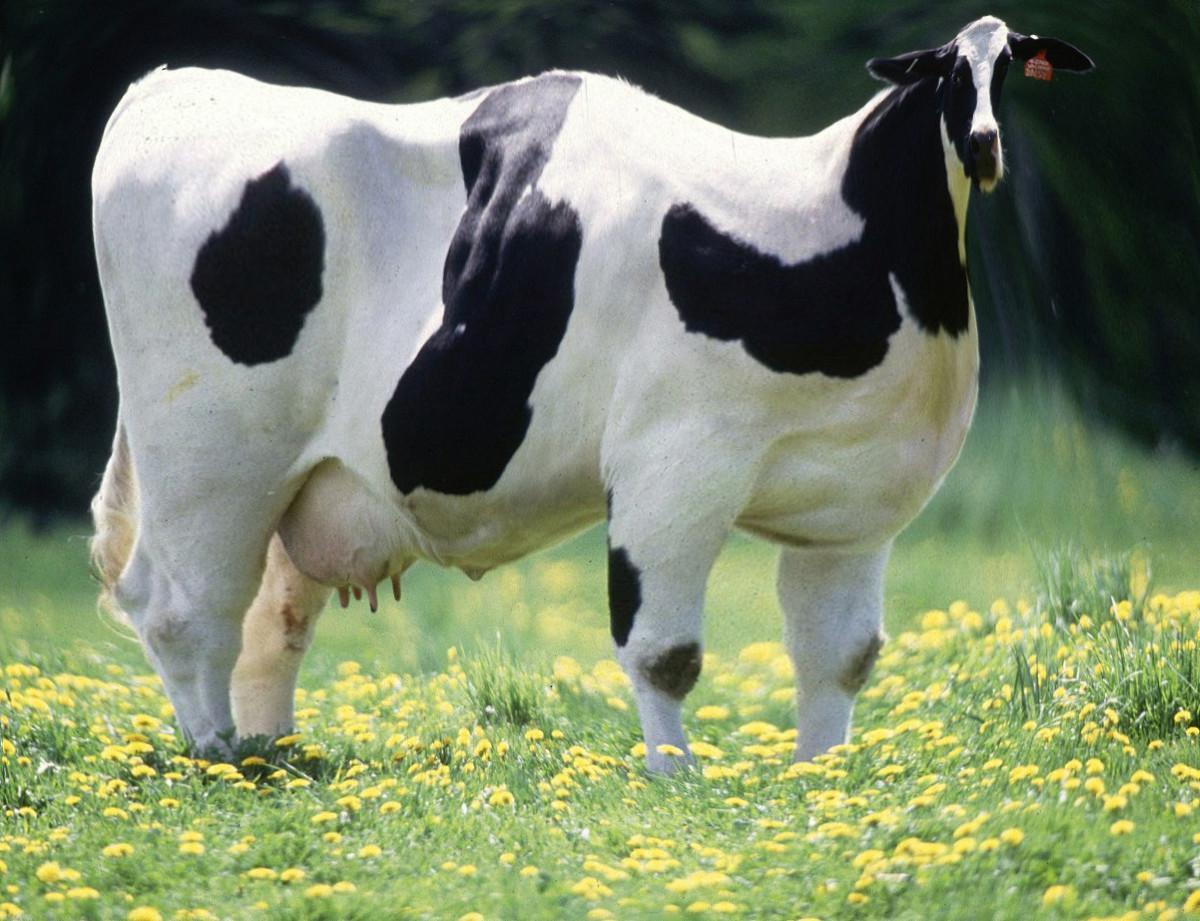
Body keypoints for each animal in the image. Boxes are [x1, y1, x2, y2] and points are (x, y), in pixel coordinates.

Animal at [90, 16, 1092, 773]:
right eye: (947, 74)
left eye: (1013, 67)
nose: (983, 143)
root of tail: (171, 86)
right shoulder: (672, 468)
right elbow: (665, 651)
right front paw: (675, 777)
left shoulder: (854, 500)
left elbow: (840, 658)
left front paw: (823, 774)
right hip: (208, 458)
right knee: (180, 606)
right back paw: (221, 756)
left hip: (295, 481)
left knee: (271, 621)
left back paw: (274, 750)